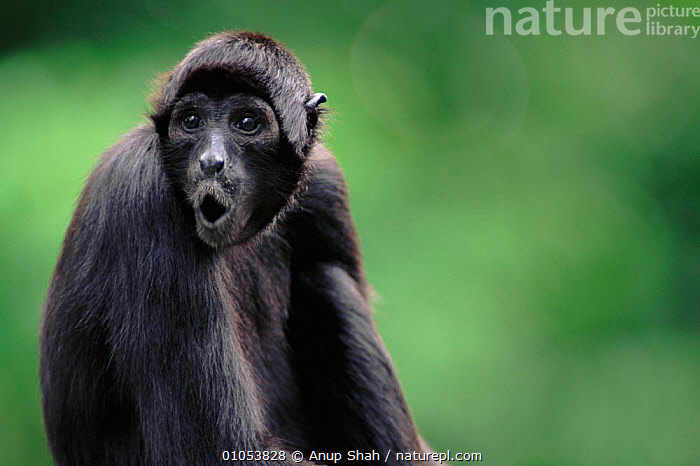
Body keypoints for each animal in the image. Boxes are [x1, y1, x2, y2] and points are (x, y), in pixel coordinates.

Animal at [40, 31, 436, 465]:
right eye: (191, 122)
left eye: (246, 123)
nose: (212, 161)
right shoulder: (143, 195)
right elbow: (217, 449)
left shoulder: (325, 184)